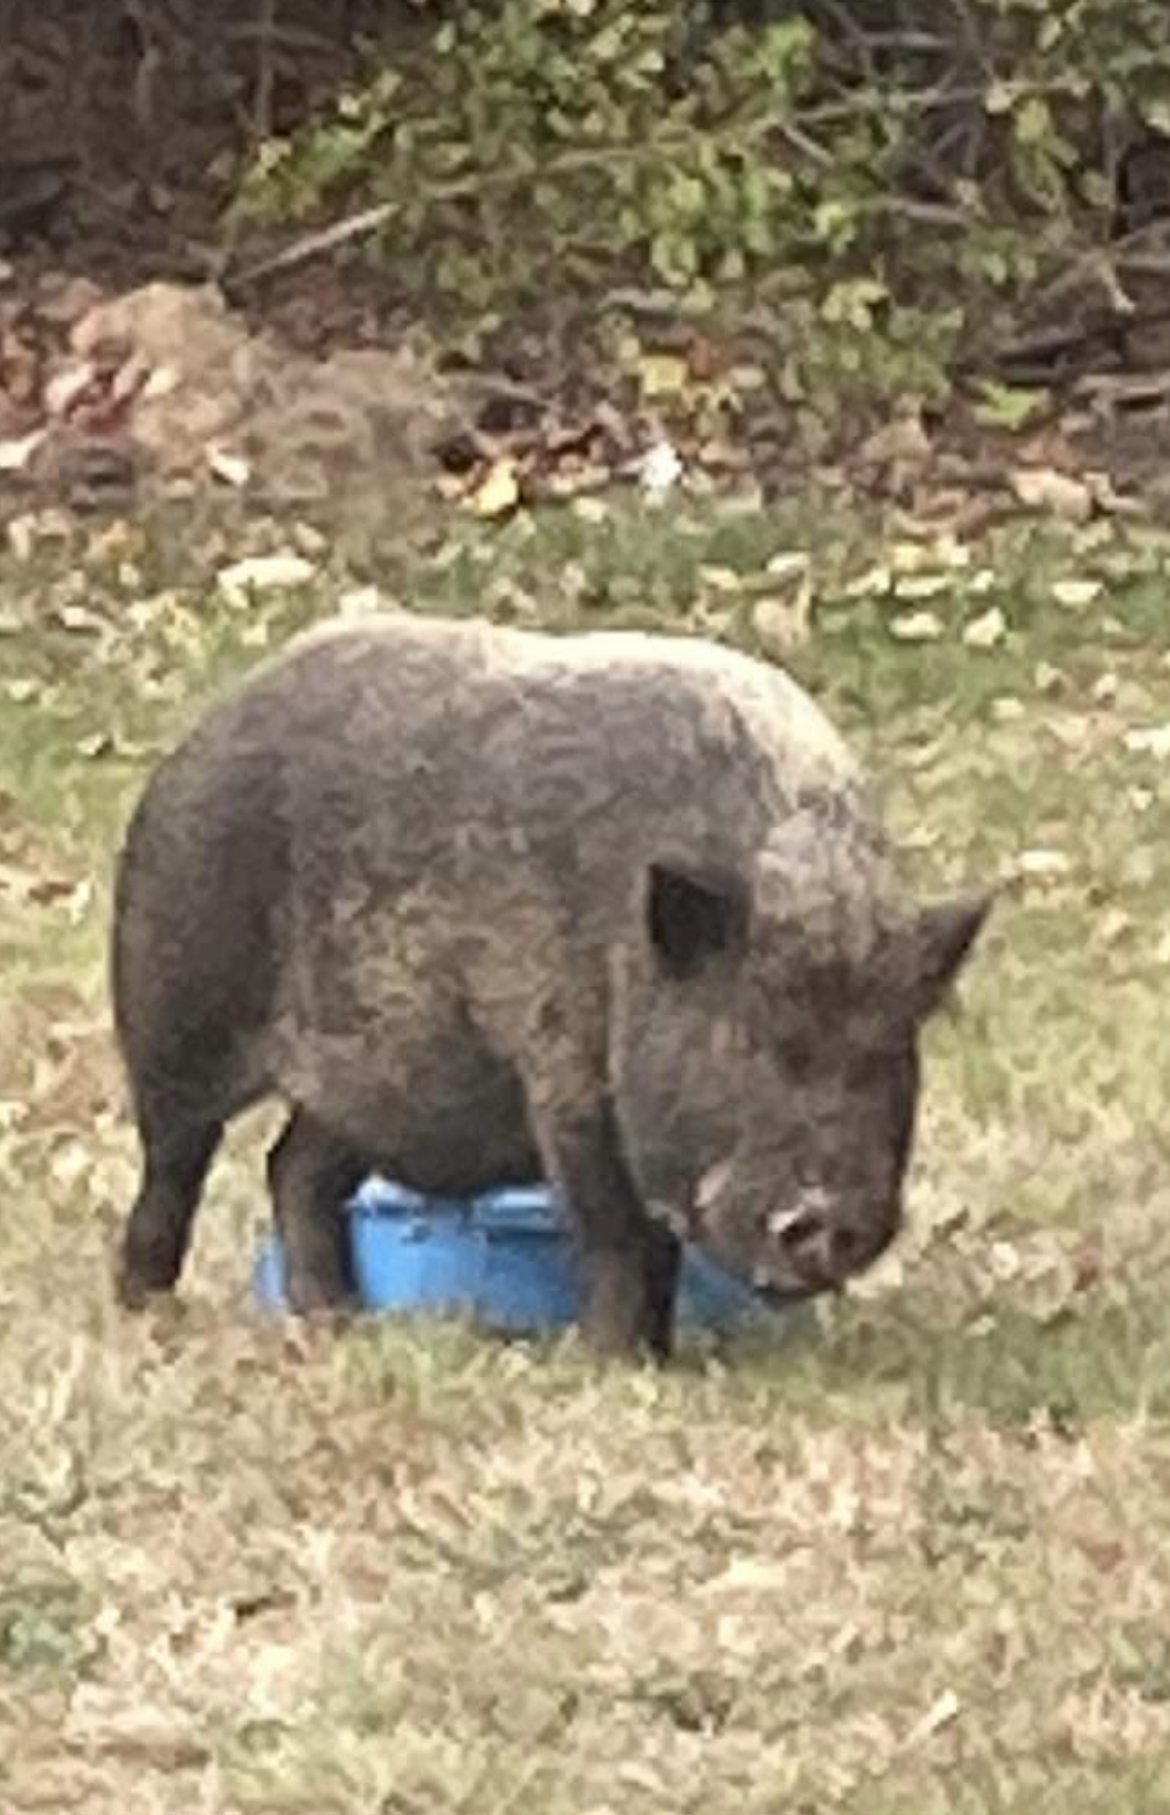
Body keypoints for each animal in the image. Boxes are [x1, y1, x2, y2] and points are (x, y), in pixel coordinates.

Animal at [110, 613, 991, 1360]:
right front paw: (612, 1361)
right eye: (746, 1039)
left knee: (291, 1164)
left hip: (373, 1085)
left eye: (889, 1048)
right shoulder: (563, 1073)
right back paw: (146, 1308)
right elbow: (613, 1228)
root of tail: (199, 733)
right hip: (170, 1009)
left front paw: (659, 1356)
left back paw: (337, 1320)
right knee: (174, 1164)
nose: (830, 1216)